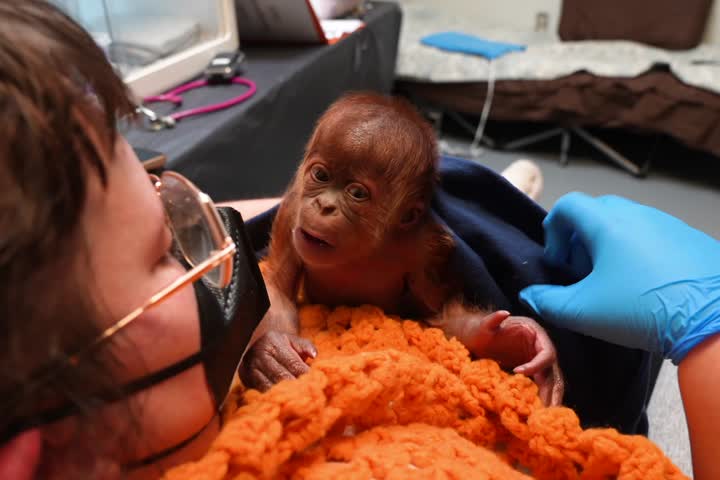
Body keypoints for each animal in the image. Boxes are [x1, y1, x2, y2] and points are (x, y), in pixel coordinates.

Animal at [239, 93, 564, 406]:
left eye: (357, 193)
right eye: (320, 175)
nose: (324, 205)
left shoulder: (427, 249)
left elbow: (435, 316)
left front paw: (507, 339)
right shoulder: (293, 210)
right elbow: (276, 285)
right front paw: (271, 353)